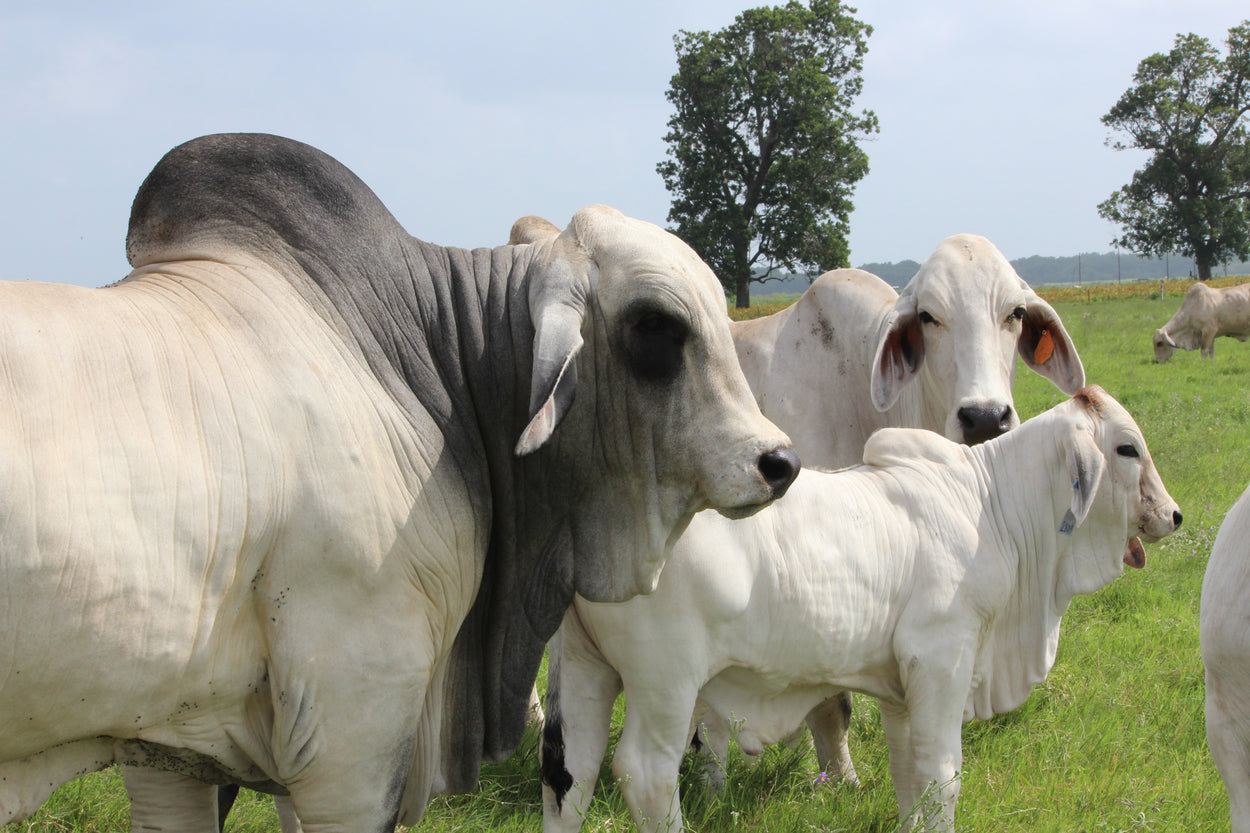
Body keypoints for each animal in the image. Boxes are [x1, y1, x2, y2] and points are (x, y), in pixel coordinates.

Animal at [540, 386, 1181, 833]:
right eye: (1126, 448)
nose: (1174, 515)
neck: (988, 504)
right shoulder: (942, 661)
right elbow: (943, 776)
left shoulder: (901, 689)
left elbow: (910, 774)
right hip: (665, 681)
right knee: (645, 772)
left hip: (584, 669)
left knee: (570, 770)